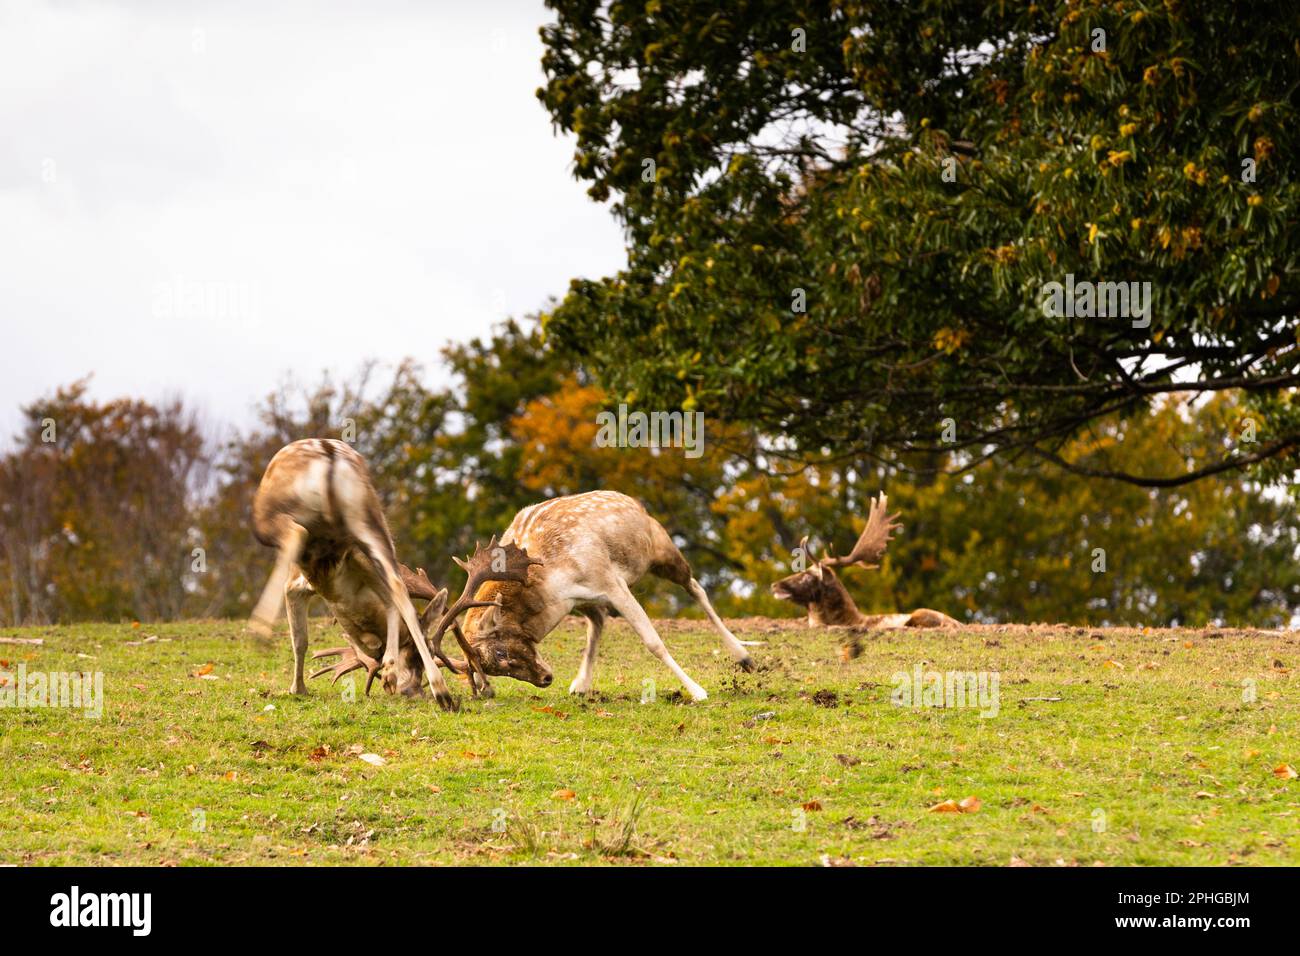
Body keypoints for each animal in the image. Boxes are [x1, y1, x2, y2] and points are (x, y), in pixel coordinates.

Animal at [248, 438, 509, 710]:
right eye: (414, 652)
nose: (415, 690)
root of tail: (327, 450)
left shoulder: (300, 583)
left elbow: (300, 639)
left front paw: (297, 688)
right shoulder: (355, 559)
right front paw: (391, 669)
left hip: (271, 515)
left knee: (296, 532)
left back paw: (259, 628)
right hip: (369, 515)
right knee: (397, 585)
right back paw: (442, 692)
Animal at [424, 490, 755, 703]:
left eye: (502, 653)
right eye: (492, 669)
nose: (545, 679)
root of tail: (636, 503)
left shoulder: (611, 582)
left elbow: (653, 642)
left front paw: (698, 691)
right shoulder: (578, 599)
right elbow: (599, 627)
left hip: (661, 548)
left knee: (695, 586)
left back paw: (745, 657)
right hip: (591, 601)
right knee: (598, 623)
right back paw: (580, 685)